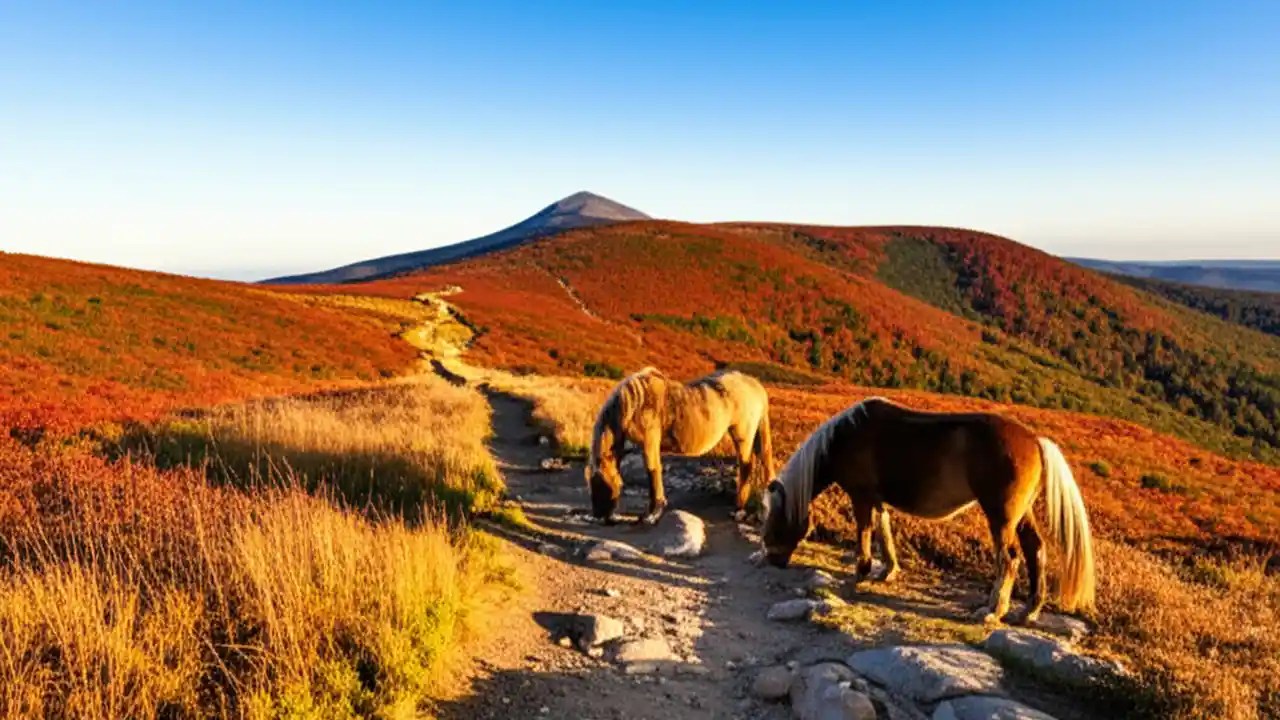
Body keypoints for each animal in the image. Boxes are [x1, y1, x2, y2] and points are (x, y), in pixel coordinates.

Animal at [586, 367, 774, 525]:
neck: (634, 404)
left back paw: (739, 510)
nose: (599, 516)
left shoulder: (649, 443)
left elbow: (653, 472)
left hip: (743, 435)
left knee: (746, 466)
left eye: (602, 484)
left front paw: (652, 514)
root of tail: (754, 384)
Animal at [759, 396, 1095, 625]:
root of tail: (1036, 441)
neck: (844, 437)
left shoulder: (862, 496)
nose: (773, 562)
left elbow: (865, 533)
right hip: (1020, 516)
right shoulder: (878, 500)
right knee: (1035, 549)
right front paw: (888, 571)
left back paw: (992, 610)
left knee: (1010, 558)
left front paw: (861, 573)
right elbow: (884, 531)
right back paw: (1028, 610)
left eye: (774, 525)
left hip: (1001, 516)